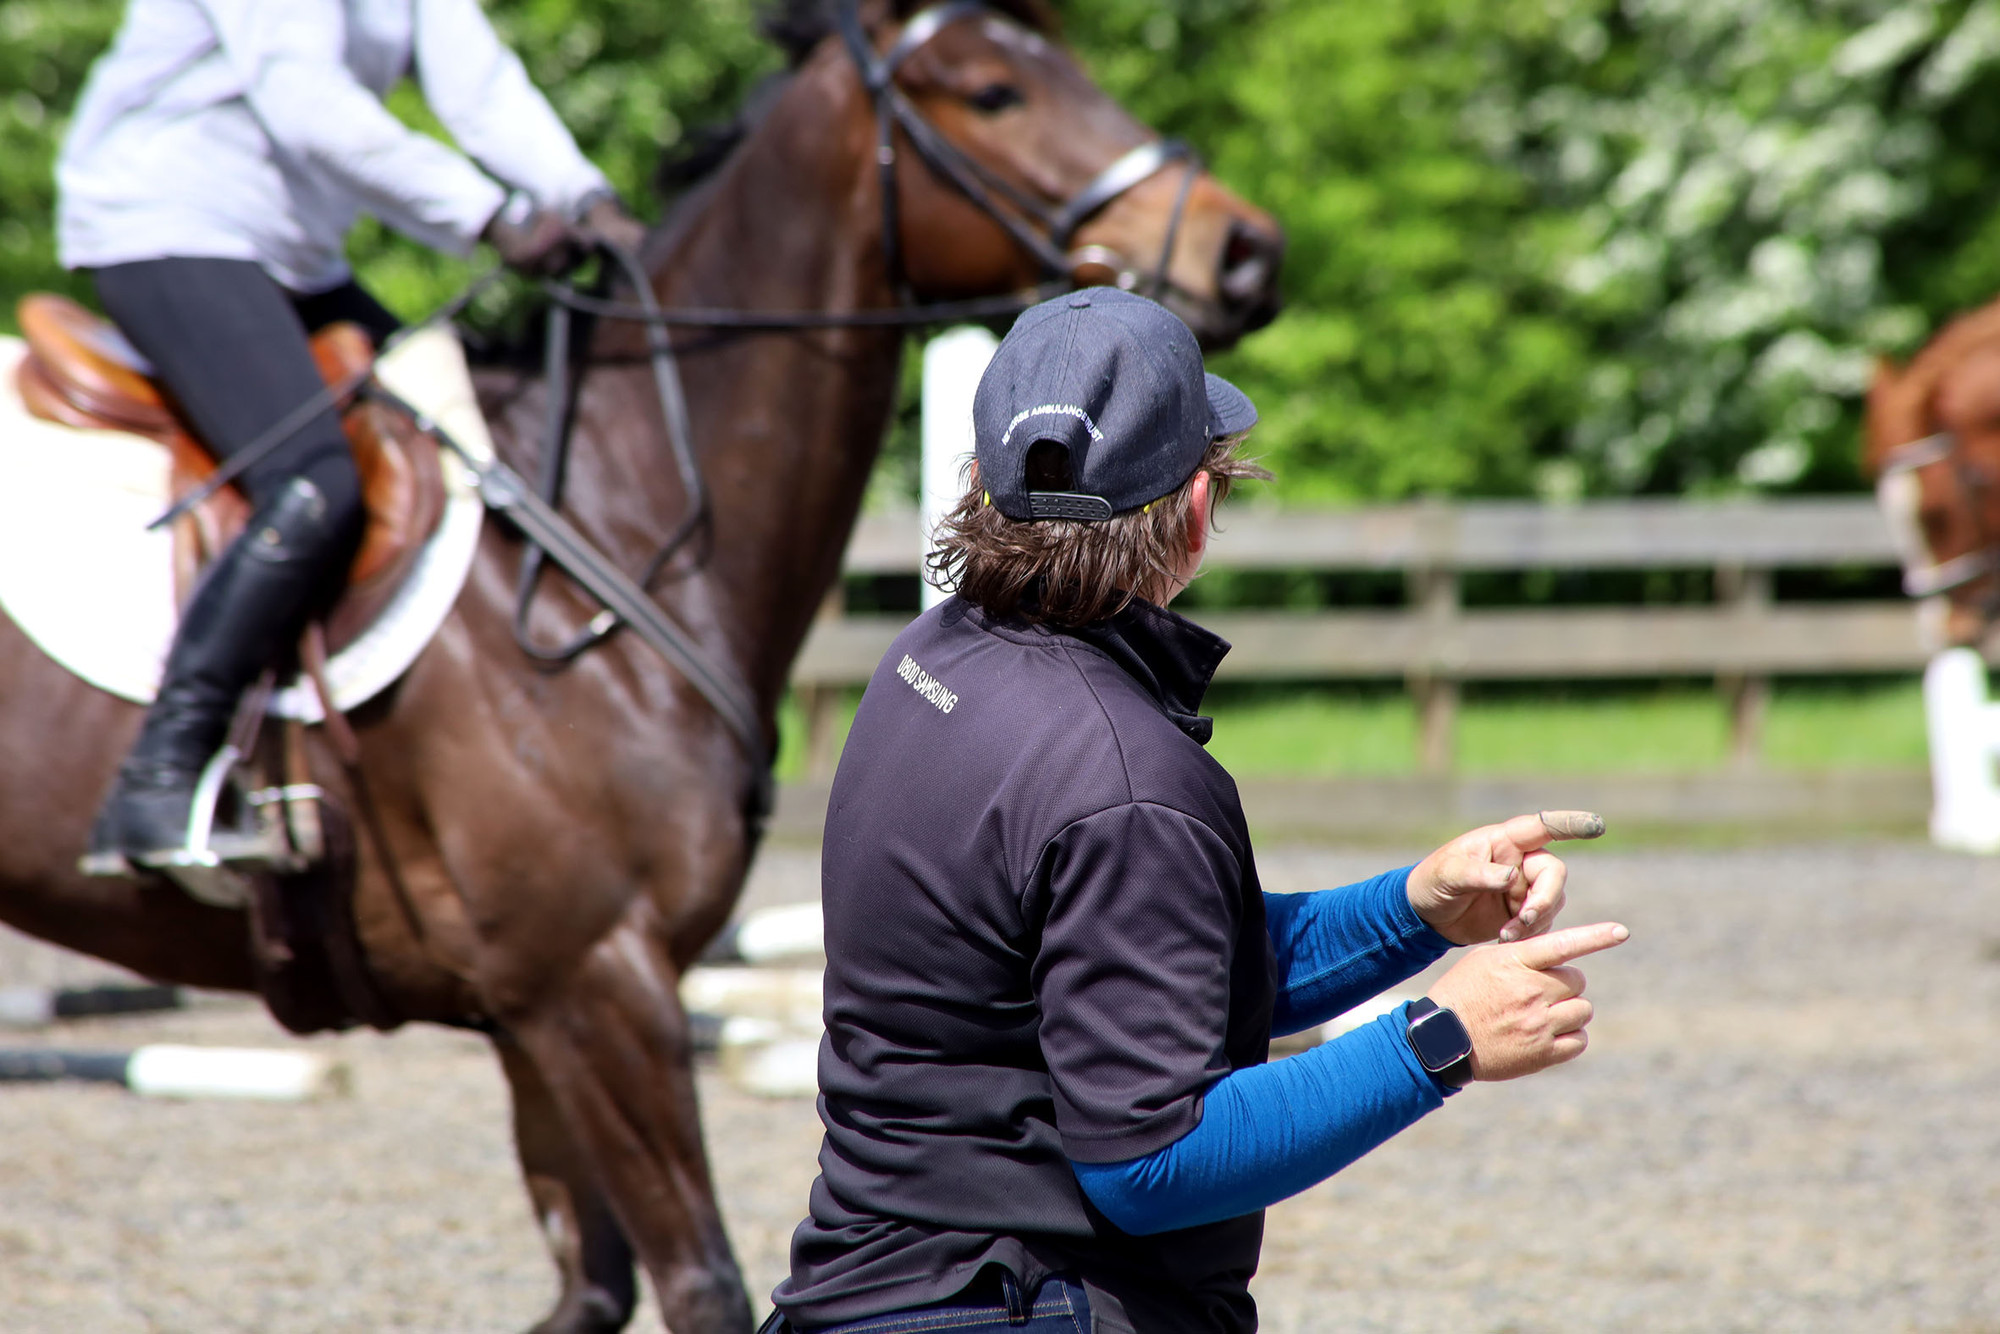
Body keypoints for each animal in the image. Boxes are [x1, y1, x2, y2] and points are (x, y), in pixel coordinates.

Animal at [0, 1, 1283, 1330]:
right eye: (990, 93)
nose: (1245, 251)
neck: (609, 523)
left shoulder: (532, 1013)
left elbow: (589, 1288)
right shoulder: (598, 982)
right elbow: (700, 1279)